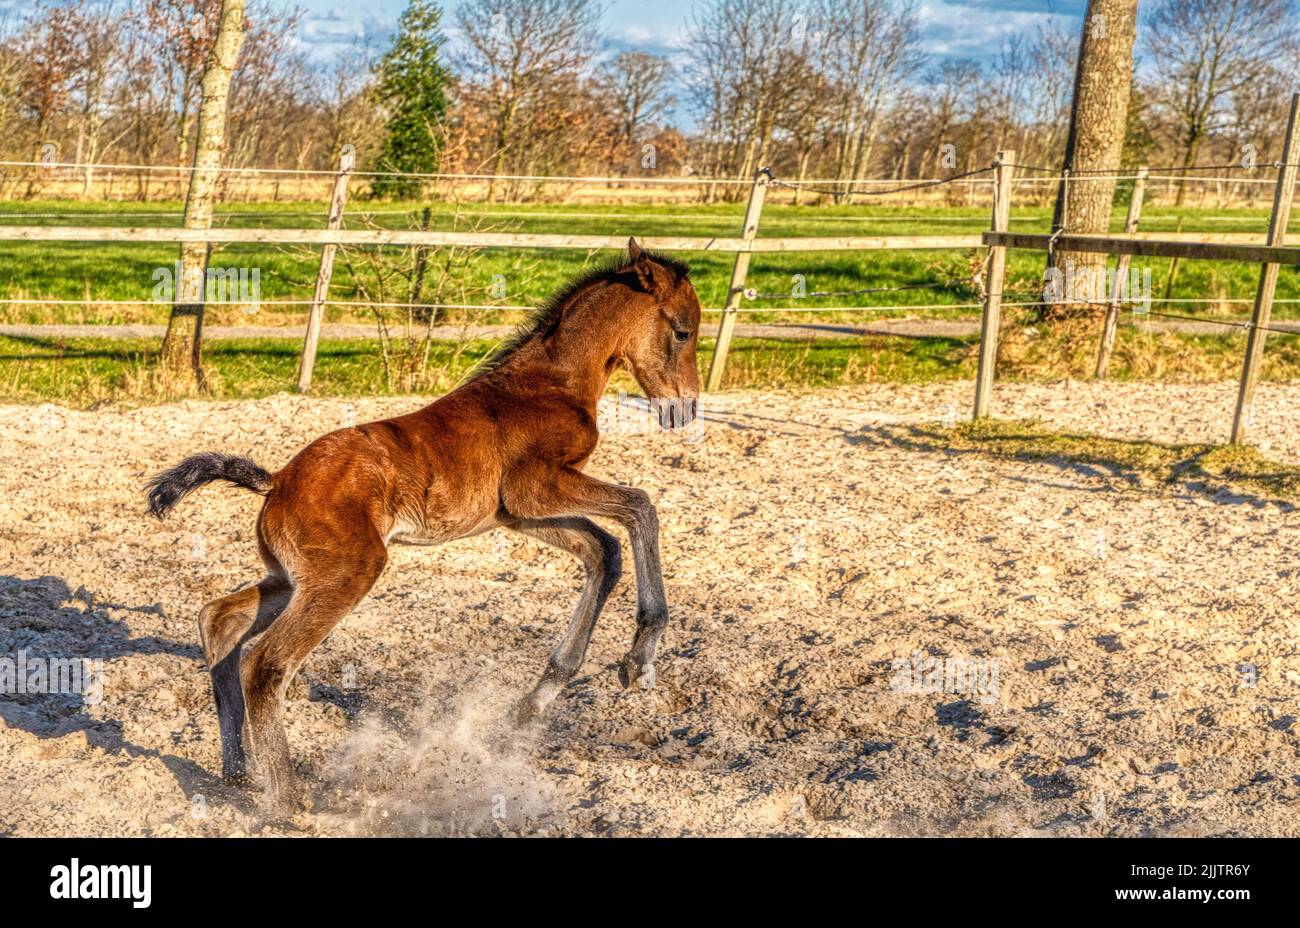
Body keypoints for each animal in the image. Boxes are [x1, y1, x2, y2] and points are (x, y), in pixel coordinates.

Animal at [146, 238, 701, 811]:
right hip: (349, 571)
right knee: (266, 663)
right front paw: (640, 658)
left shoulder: (517, 512)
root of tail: (276, 480)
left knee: (220, 620)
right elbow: (641, 507)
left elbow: (604, 549)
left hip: (292, 577)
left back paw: (237, 775)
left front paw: (540, 698)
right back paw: (289, 802)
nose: (684, 409)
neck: (551, 382)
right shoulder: (536, 486)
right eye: (683, 332)